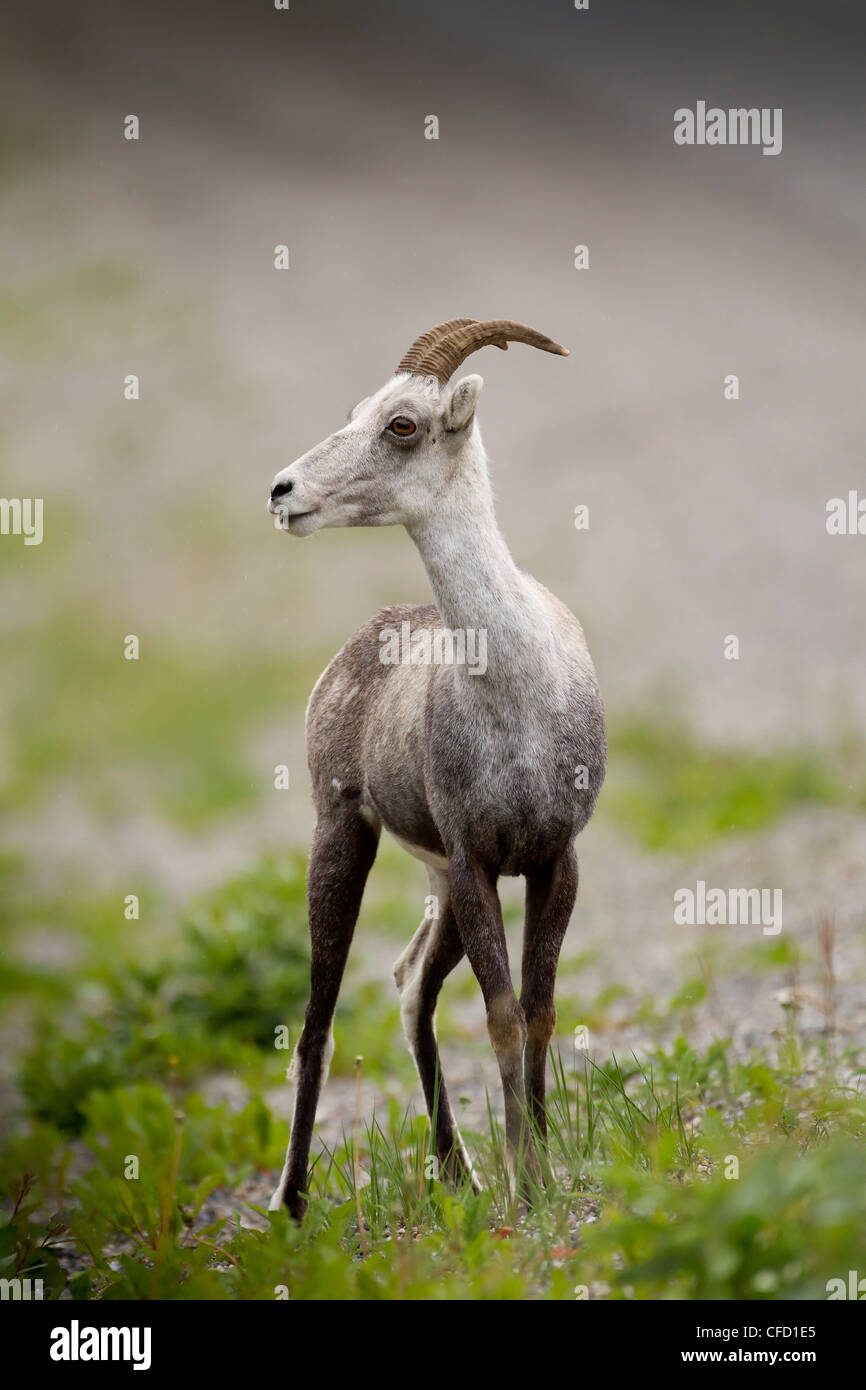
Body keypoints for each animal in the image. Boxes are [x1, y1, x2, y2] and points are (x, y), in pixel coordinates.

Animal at [265, 318, 606, 1219]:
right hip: (345, 842)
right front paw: (526, 1186)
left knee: (411, 982)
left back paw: (457, 1173)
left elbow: (539, 1009)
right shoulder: (478, 861)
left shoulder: (552, 862)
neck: (518, 699)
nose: (282, 492)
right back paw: (292, 1207)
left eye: (402, 424)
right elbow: (502, 1014)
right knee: (318, 1024)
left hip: (438, 888)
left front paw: (541, 1169)